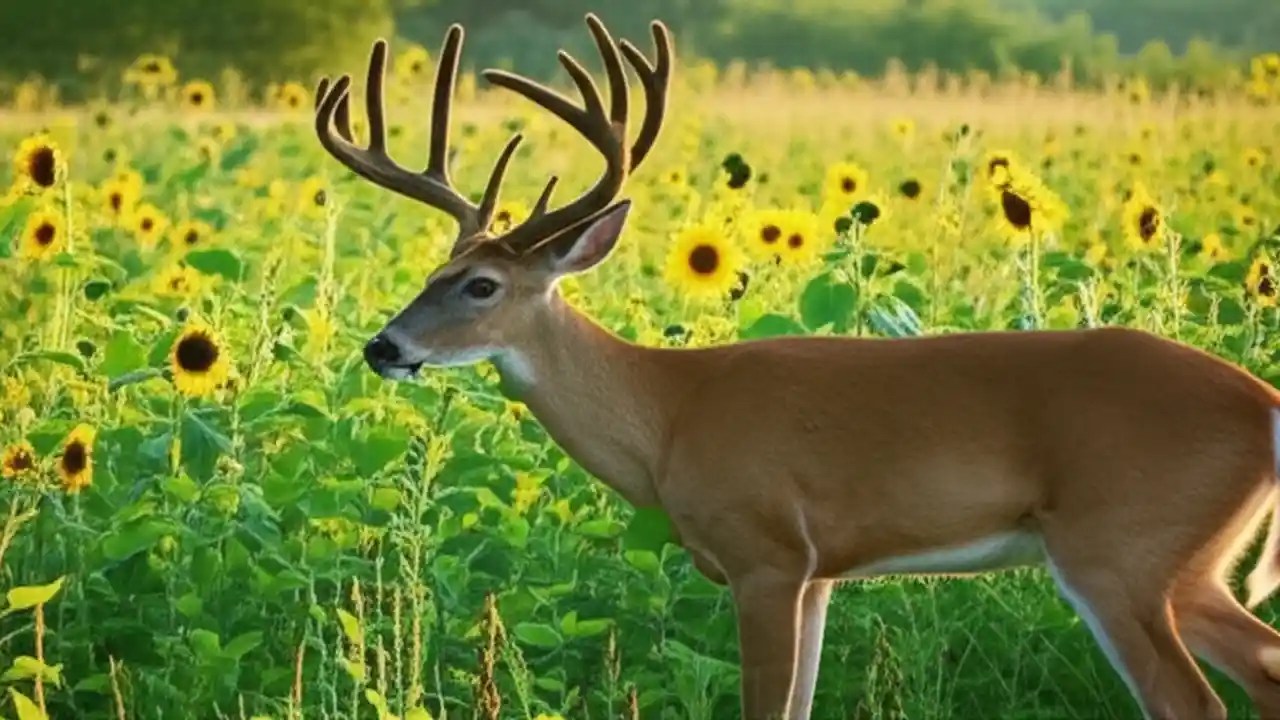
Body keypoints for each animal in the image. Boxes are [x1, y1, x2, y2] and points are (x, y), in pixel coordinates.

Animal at [313, 13, 1280, 720]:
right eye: (430, 274)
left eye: (479, 285)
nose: (383, 347)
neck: (668, 418)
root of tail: (1262, 405)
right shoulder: (819, 575)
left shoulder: (767, 551)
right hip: (1189, 562)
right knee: (1263, 669)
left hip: (1120, 546)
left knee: (1193, 702)